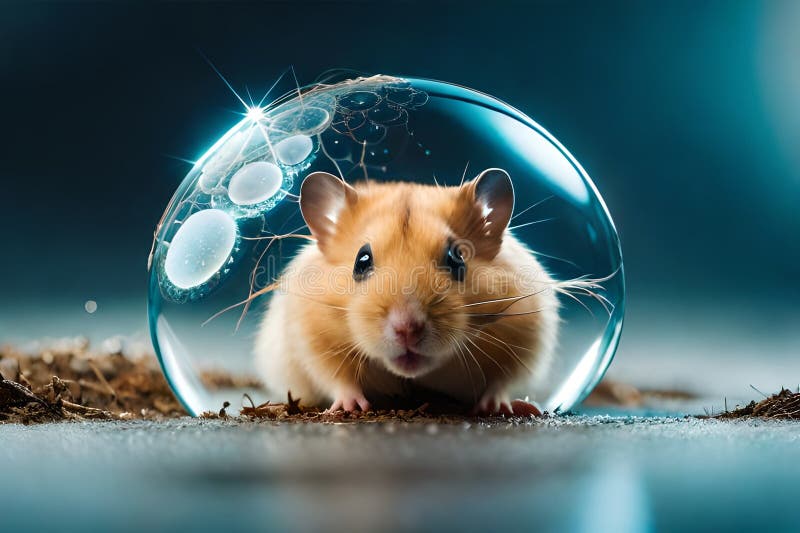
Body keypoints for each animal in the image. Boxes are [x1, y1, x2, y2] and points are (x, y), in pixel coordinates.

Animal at [255, 168, 559, 414]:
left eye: (457, 258)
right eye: (361, 261)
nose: (407, 329)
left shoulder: (526, 333)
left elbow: (501, 381)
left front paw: (496, 407)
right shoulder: (308, 338)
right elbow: (337, 378)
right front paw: (352, 407)